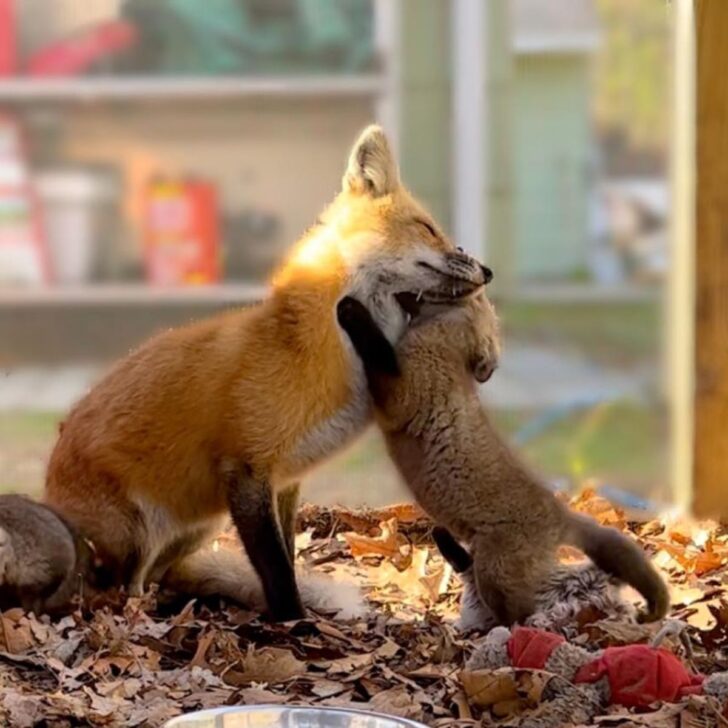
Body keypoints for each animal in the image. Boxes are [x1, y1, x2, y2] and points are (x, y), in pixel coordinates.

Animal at [44, 125, 491, 621]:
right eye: (428, 228)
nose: (488, 270)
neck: (325, 345)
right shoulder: (246, 469)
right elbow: (275, 569)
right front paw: (294, 622)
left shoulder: (285, 479)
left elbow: (289, 558)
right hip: (136, 535)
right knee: (116, 590)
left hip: (201, 524)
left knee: (159, 579)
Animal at [335, 293, 670, 627]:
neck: (446, 347)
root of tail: (559, 513)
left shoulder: (399, 396)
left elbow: (376, 349)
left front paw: (351, 310)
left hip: (494, 573)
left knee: (523, 607)